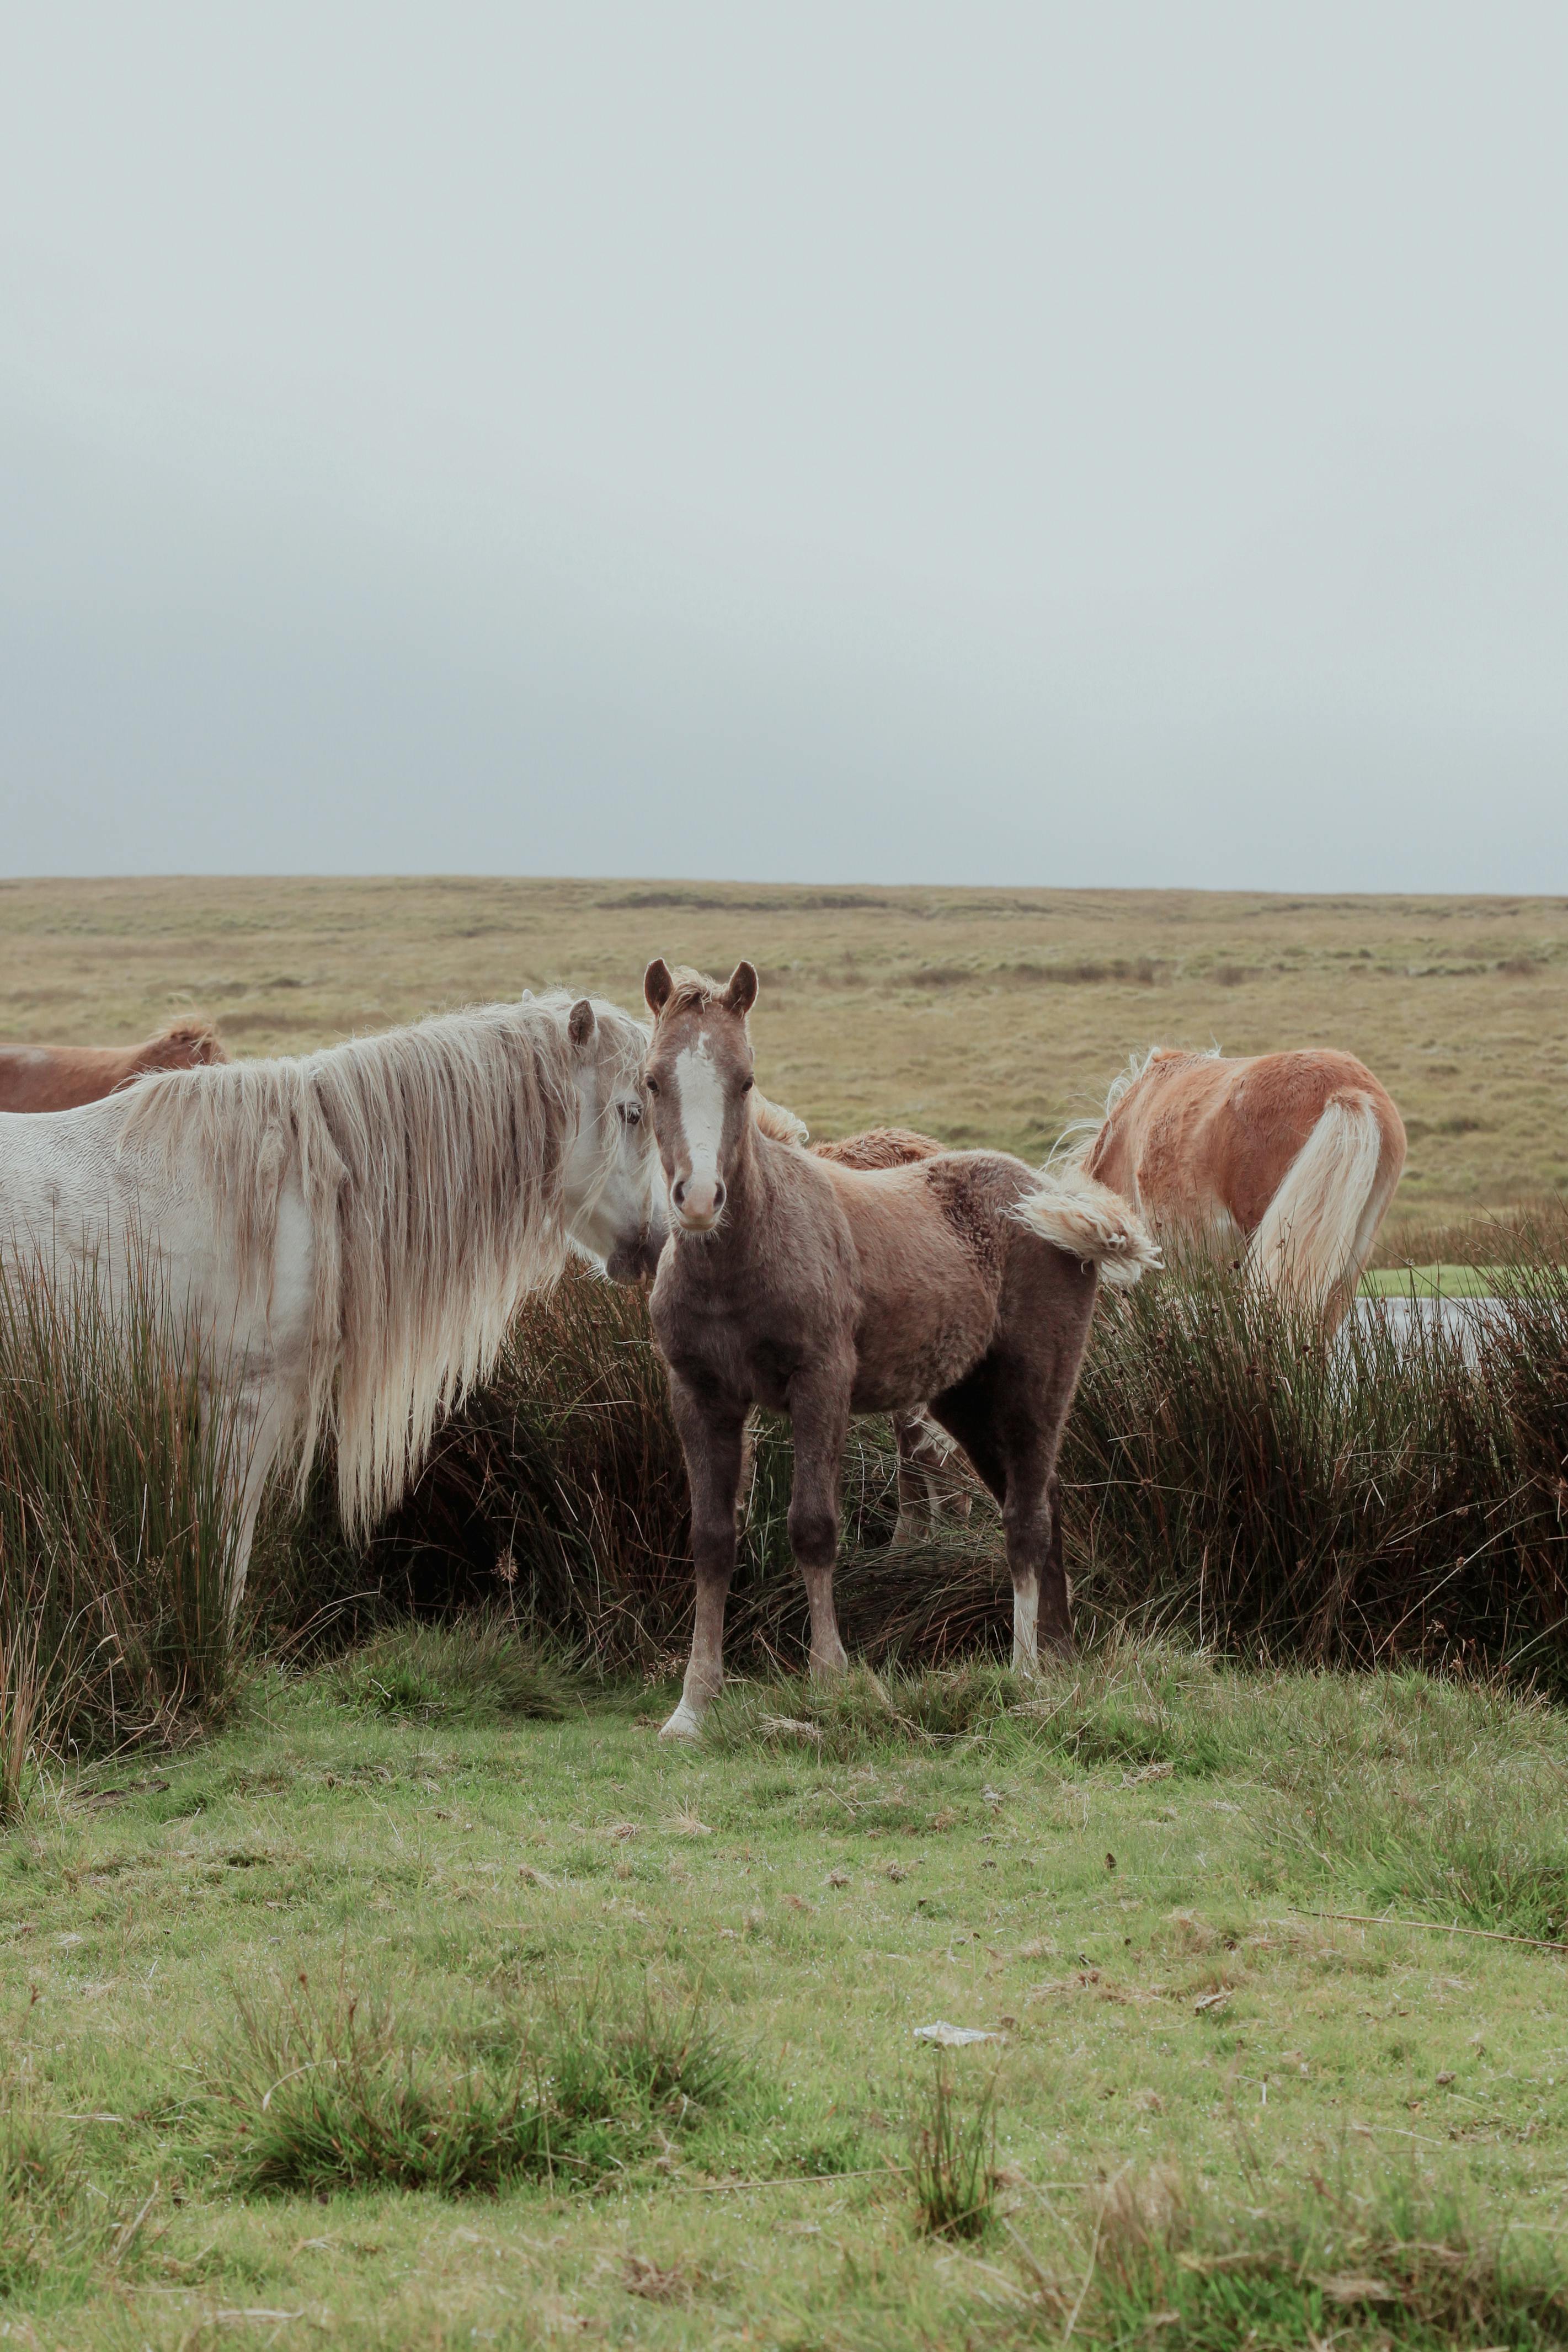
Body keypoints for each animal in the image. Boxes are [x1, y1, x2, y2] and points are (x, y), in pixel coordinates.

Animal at [641, 959, 1158, 1739]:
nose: (699, 1199)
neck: (745, 1256)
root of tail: (1053, 1199)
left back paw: (1026, 1673)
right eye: (651, 1081)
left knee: (1027, 1519)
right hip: (965, 1403)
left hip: (1036, 1387)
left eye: (746, 1080)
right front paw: (692, 1705)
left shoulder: (820, 1386)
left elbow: (813, 1529)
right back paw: (1061, 1656)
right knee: (1043, 1501)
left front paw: (830, 1683)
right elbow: (711, 1539)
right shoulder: (699, 1397)